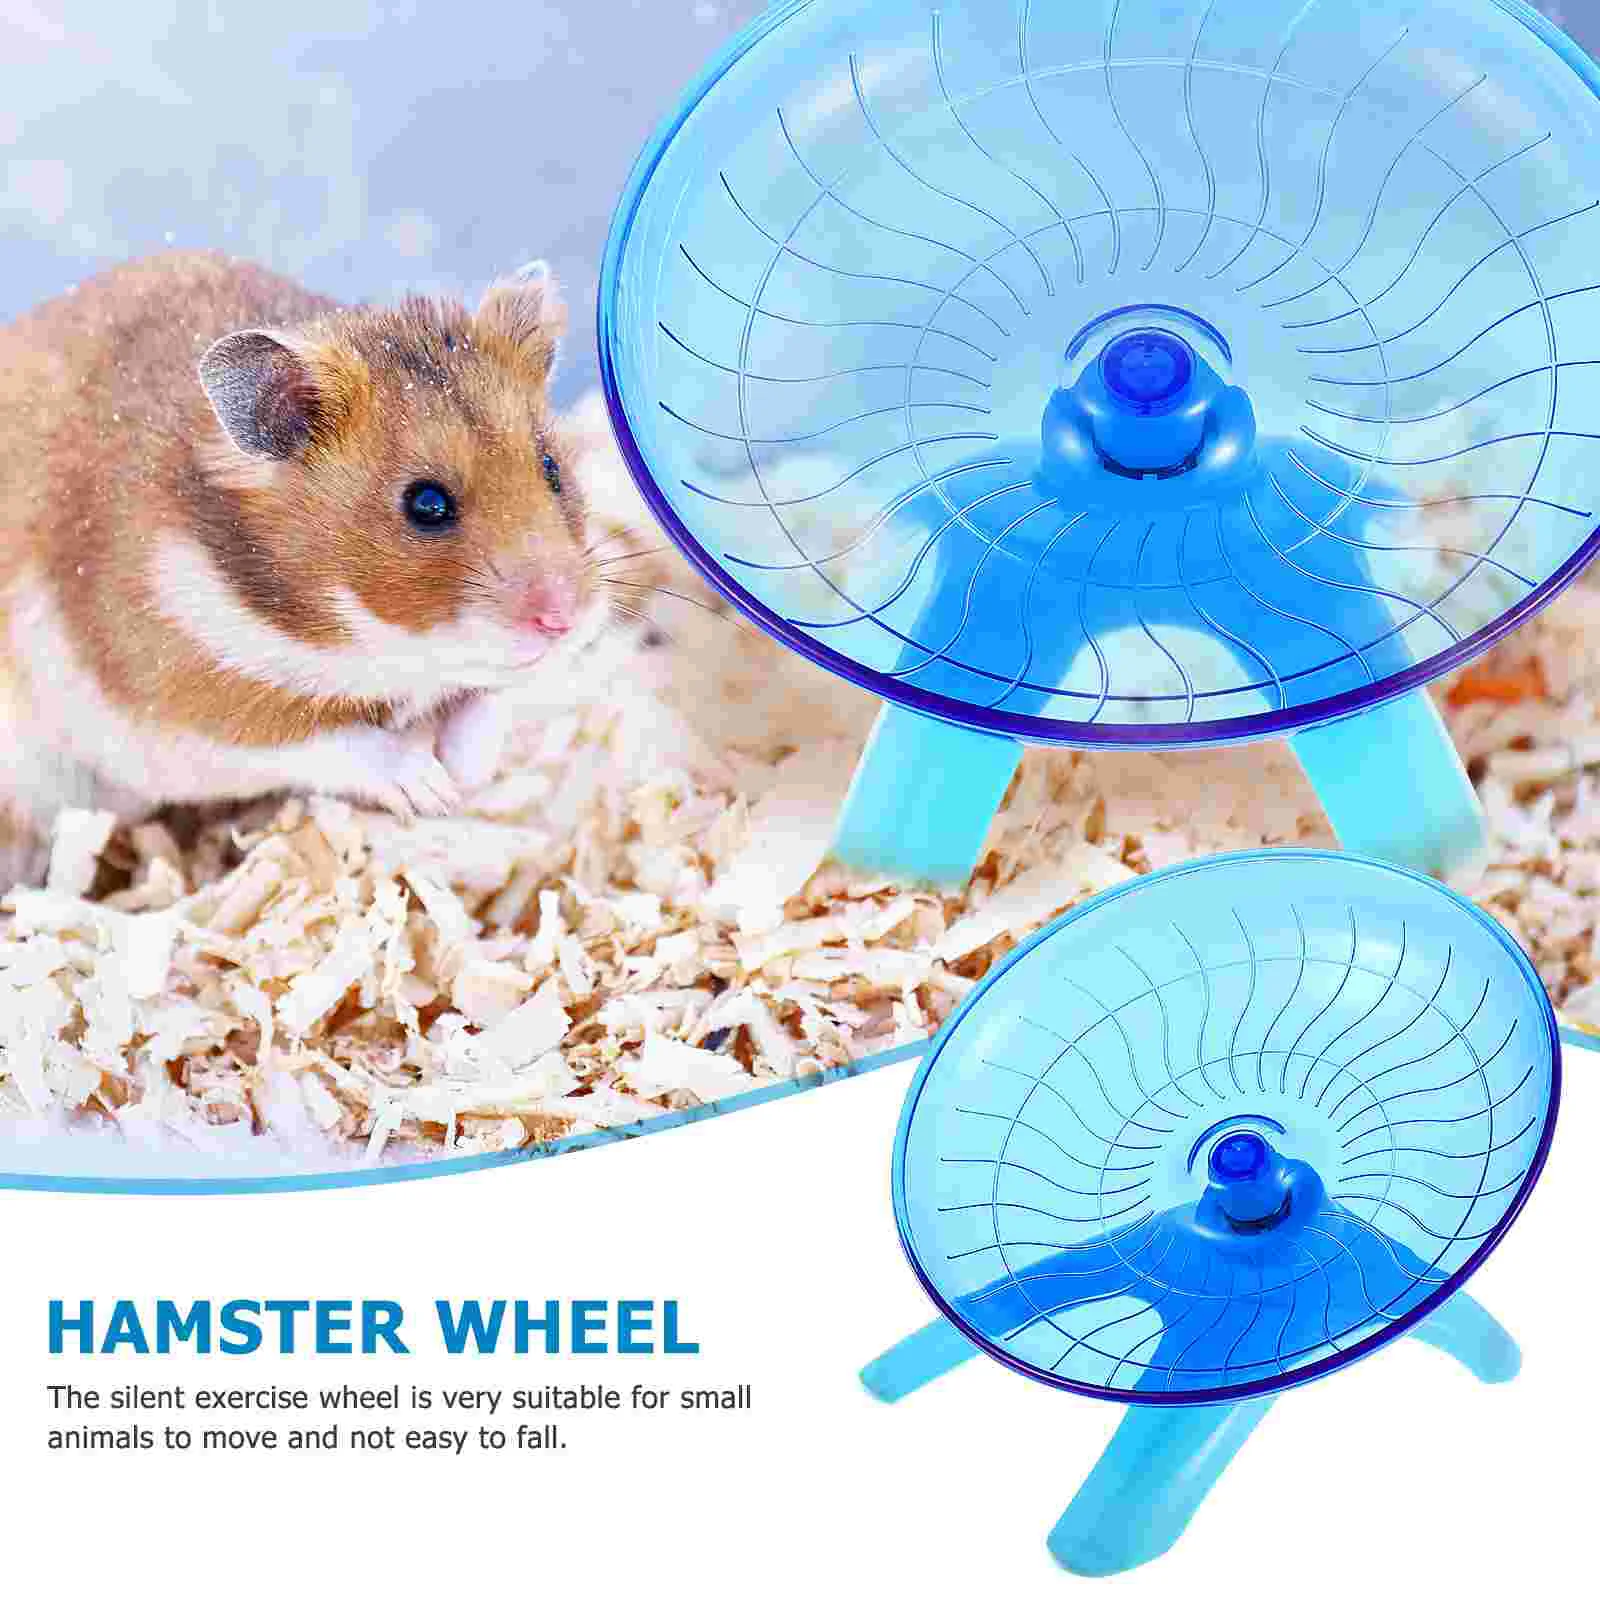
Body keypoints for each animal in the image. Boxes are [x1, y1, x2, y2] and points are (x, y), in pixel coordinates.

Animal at [0, 250, 599, 888]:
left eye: (551, 467)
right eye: (426, 504)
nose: (563, 620)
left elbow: (491, 699)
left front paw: (464, 774)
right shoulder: (191, 718)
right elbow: (331, 741)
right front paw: (432, 790)